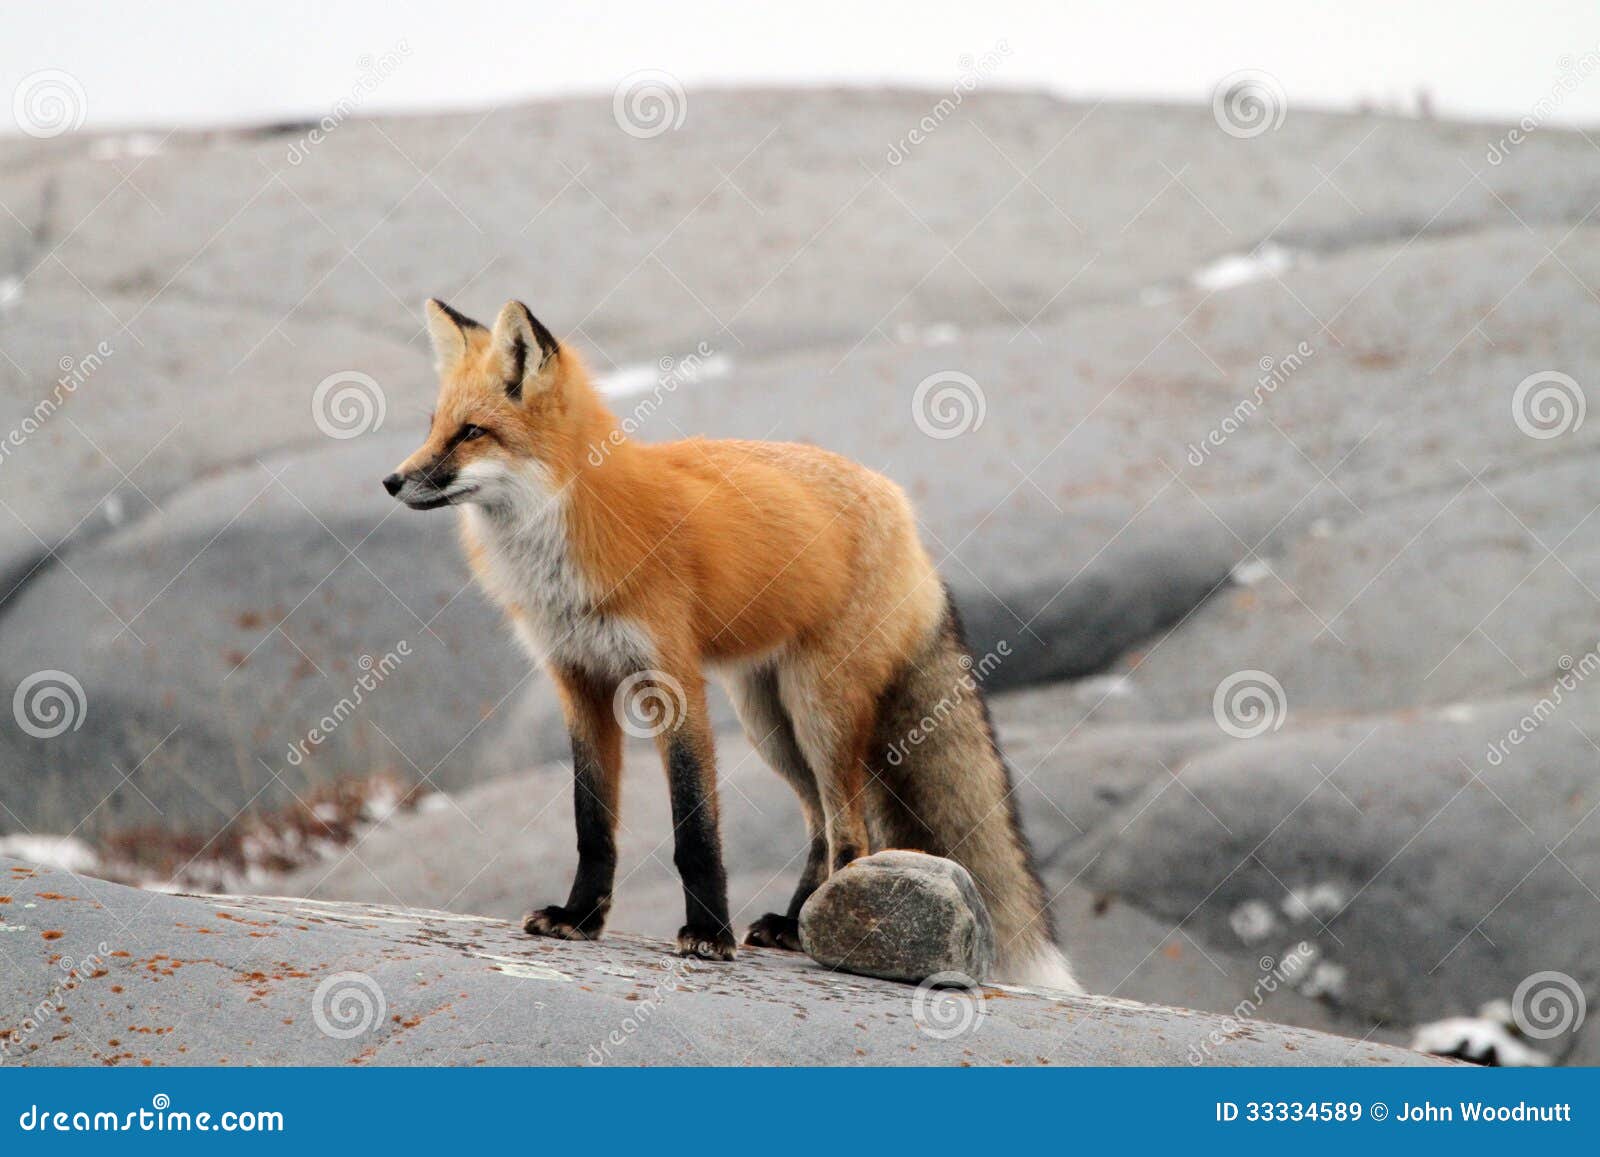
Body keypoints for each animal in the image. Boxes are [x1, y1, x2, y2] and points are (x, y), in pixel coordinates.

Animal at [382, 297, 1081, 991]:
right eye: (433, 427)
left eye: (472, 432)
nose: (392, 481)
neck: (566, 542)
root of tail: (901, 511)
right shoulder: (579, 681)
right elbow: (592, 825)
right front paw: (579, 918)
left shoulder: (674, 681)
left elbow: (695, 831)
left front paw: (708, 935)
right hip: (769, 723)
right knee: (820, 827)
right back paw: (792, 924)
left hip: (817, 711)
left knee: (850, 832)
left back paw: (814, 931)